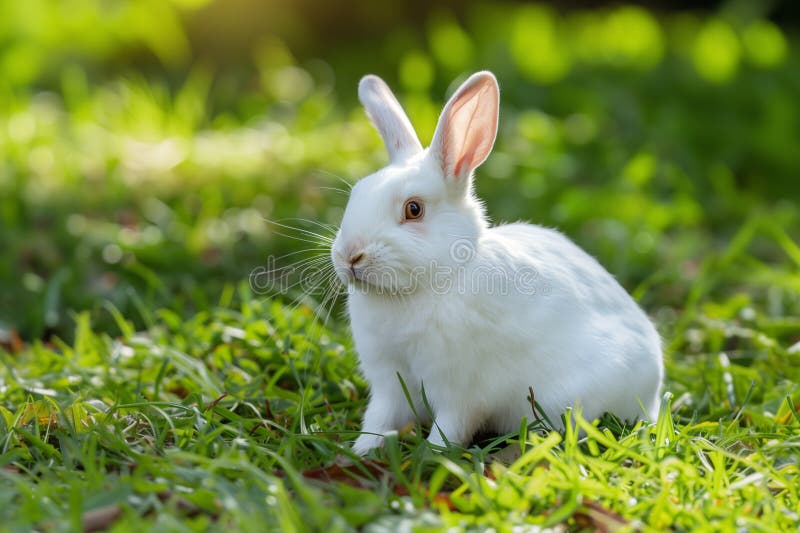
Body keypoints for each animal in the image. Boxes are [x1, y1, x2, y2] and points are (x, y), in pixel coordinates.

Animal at [331, 71, 664, 455]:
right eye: (356, 194)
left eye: (413, 209)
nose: (349, 255)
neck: (431, 283)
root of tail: (655, 385)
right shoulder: (389, 382)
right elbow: (379, 418)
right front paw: (360, 450)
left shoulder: (460, 391)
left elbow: (451, 426)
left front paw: (433, 455)